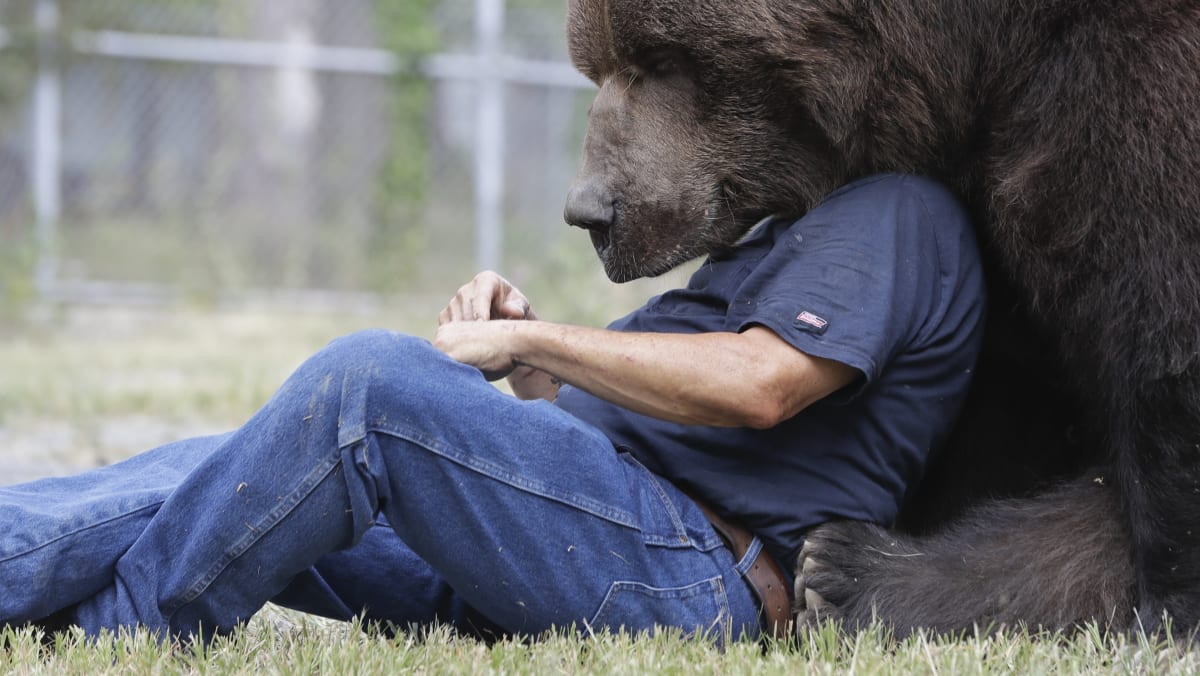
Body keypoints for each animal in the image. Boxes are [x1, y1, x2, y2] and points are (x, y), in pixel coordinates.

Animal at [562, 0, 1200, 637]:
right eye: (595, 66)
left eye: (661, 61)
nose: (591, 212)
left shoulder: (1126, 96)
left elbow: (1165, 349)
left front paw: (1167, 610)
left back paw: (850, 573)